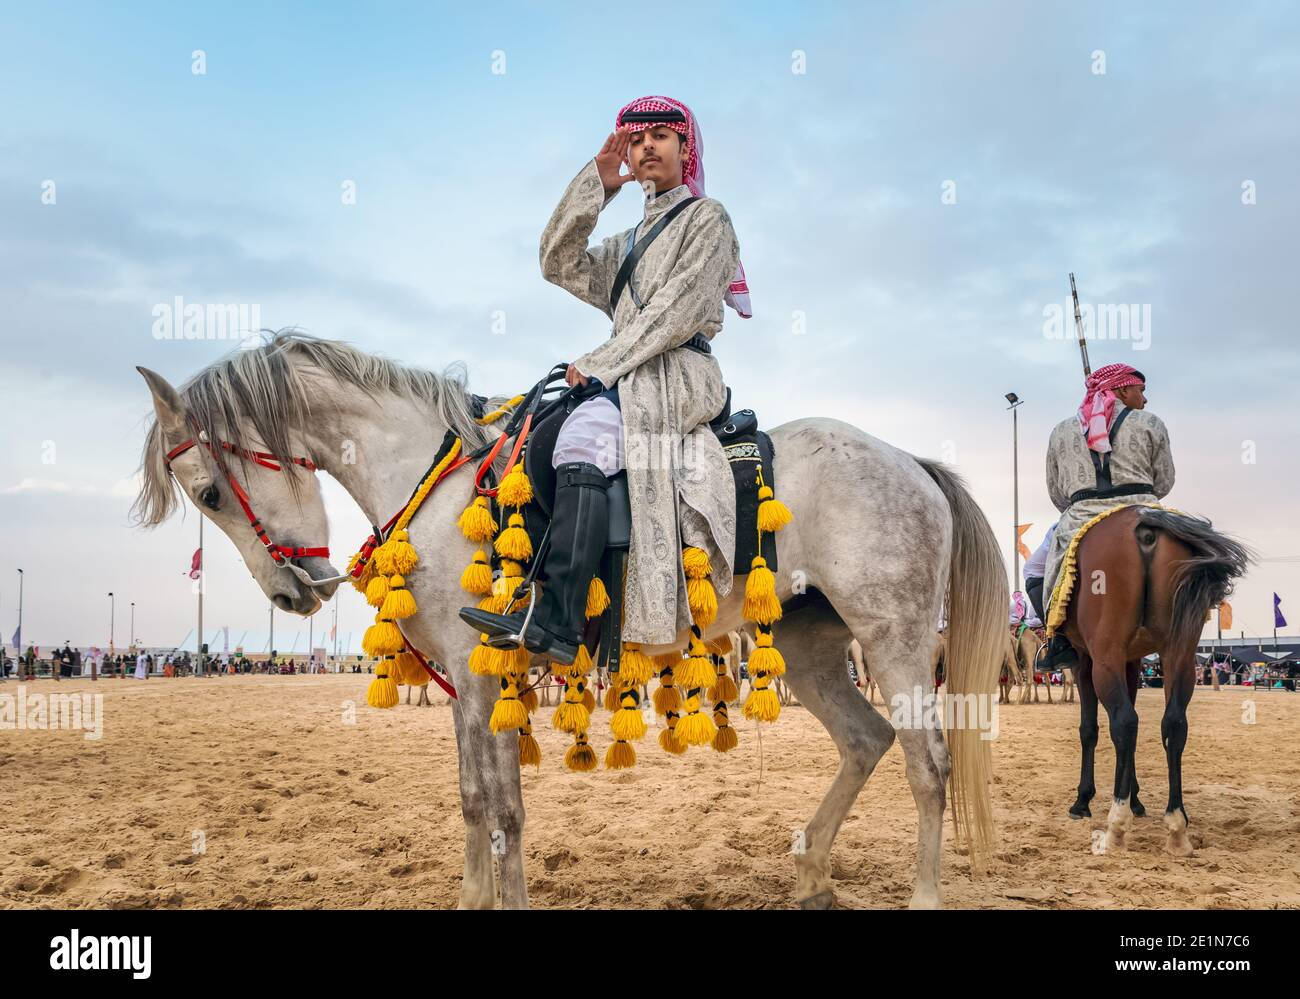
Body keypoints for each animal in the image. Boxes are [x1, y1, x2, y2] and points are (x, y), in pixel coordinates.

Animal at [132, 332, 1007, 909]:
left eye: (209, 492)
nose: (293, 593)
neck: (442, 478)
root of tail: (910, 462)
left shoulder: (482, 678)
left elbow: (498, 806)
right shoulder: (473, 684)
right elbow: (484, 802)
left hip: (894, 642)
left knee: (929, 765)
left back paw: (920, 896)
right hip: (812, 649)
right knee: (866, 740)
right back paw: (811, 870)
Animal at [1056, 506, 1250, 855]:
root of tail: (1143, 519)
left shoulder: (1084, 660)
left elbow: (1089, 729)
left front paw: (1084, 800)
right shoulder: (1132, 660)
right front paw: (1136, 798)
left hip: (1105, 656)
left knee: (1124, 722)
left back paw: (1116, 826)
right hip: (1179, 654)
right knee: (1173, 724)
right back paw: (1176, 826)